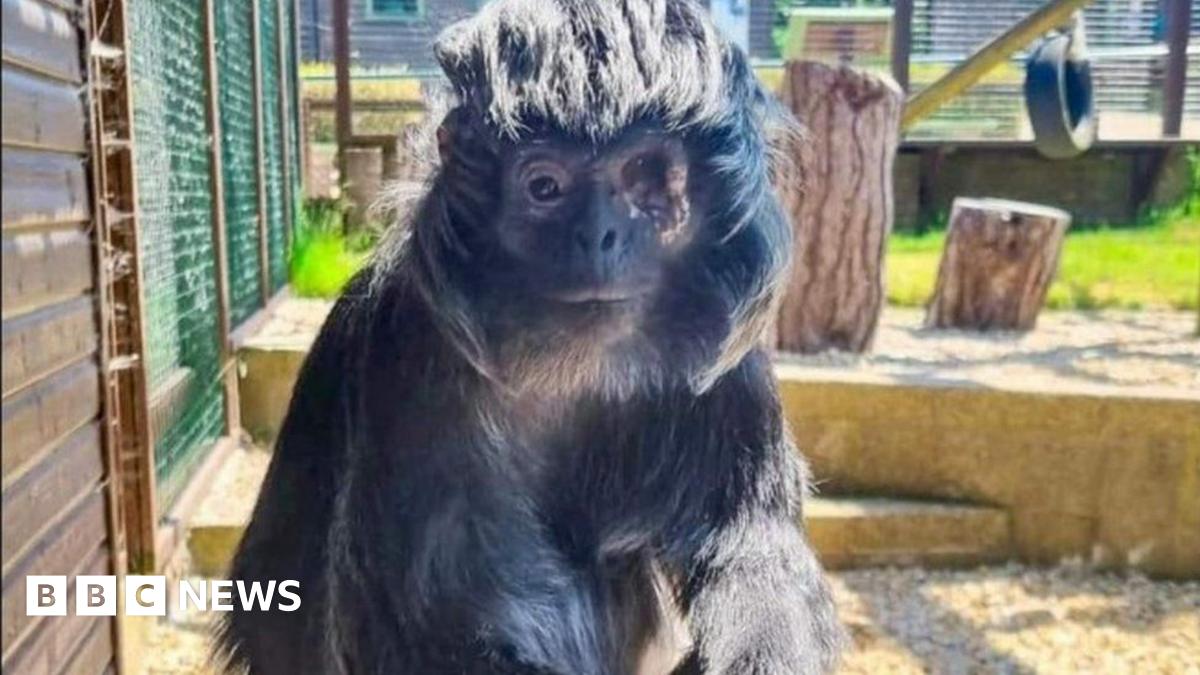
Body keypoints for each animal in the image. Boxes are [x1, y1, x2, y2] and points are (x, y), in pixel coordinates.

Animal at [217, 1, 844, 673]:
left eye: (645, 179)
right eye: (545, 187)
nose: (598, 235)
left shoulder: (730, 362)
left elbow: (751, 542)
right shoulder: (412, 346)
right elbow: (425, 618)